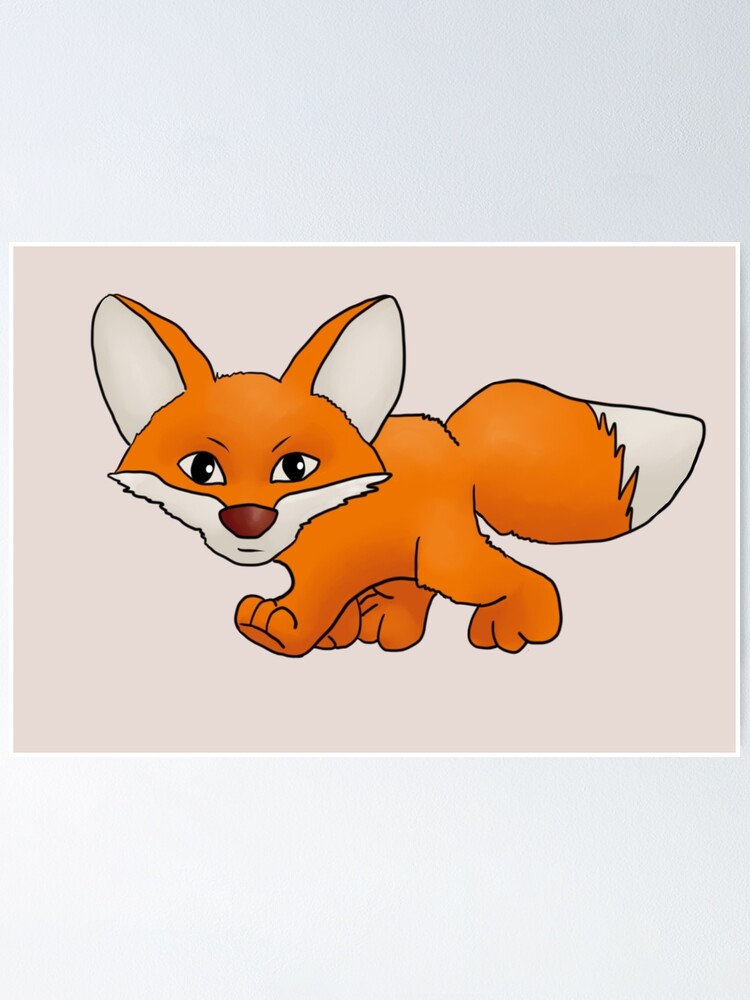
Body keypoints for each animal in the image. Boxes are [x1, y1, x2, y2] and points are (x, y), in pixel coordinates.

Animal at [92, 293, 705, 658]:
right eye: (202, 469)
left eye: (295, 467)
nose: (247, 519)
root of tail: (453, 441)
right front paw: (331, 631)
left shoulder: (328, 568)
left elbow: (303, 610)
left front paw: (280, 629)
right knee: (411, 591)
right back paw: (386, 626)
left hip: (447, 561)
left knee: (522, 579)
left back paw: (516, 626)